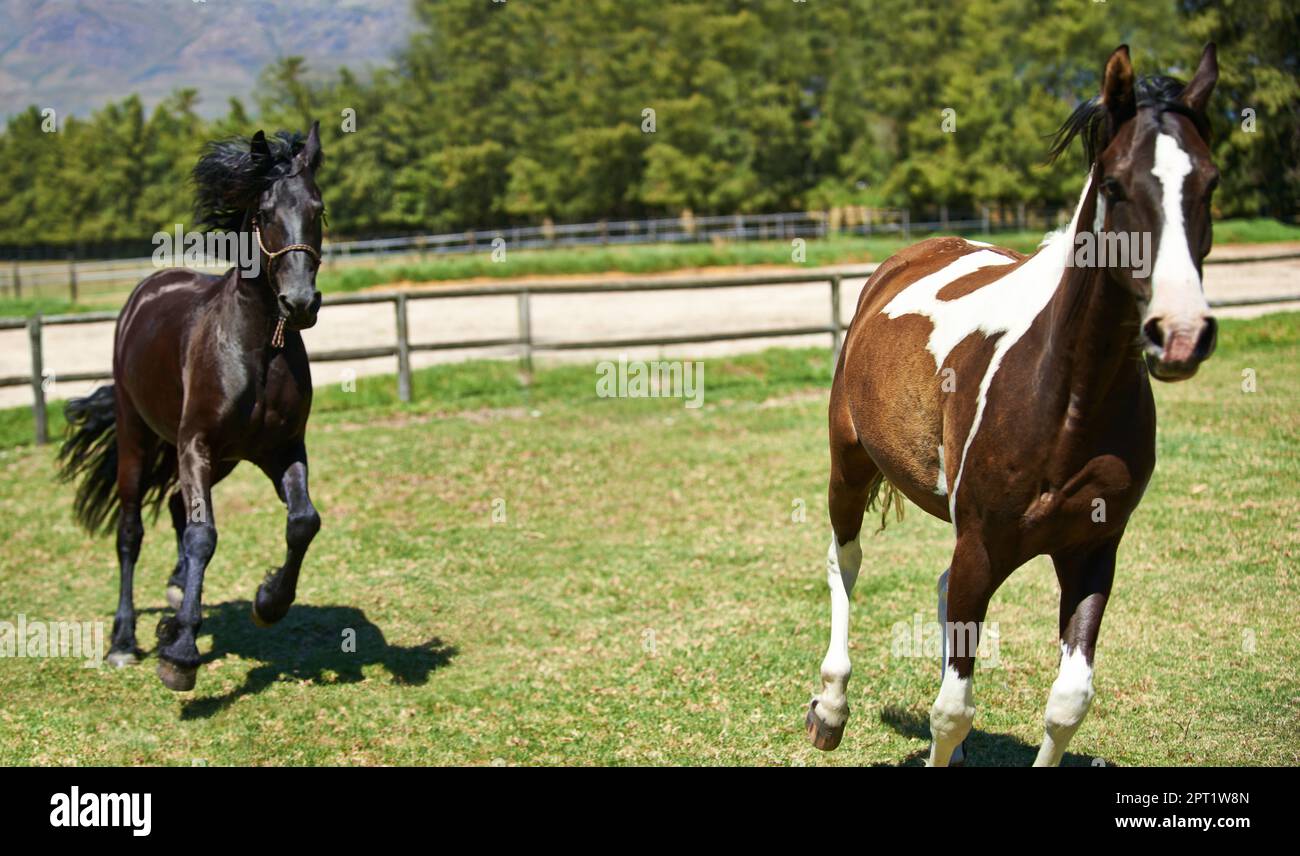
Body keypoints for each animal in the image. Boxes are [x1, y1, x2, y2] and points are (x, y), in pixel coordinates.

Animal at [58, 122, 326, 692]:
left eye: (318, 209)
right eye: (264, 212)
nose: (299, 304)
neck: (258, 349)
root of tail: (147, 291)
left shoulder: (281, 448)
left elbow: (303, 522)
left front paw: (268, 602)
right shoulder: (196, 444)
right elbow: (204, 536)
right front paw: (179, 656)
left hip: (220, 461)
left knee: (178, 507)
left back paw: (178, 595)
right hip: (140, 439)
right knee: (131, 532)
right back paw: (124, 642)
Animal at [805, 44, 1220, 765]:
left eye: (1213, 183)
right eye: (1115, 185)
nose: (1181, 332)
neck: (1067, 403)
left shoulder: (1092, 549)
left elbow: (1068, 703)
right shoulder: (981, 545)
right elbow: (950, 711)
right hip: (849, 463)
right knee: (845, 564)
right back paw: (829, 708)